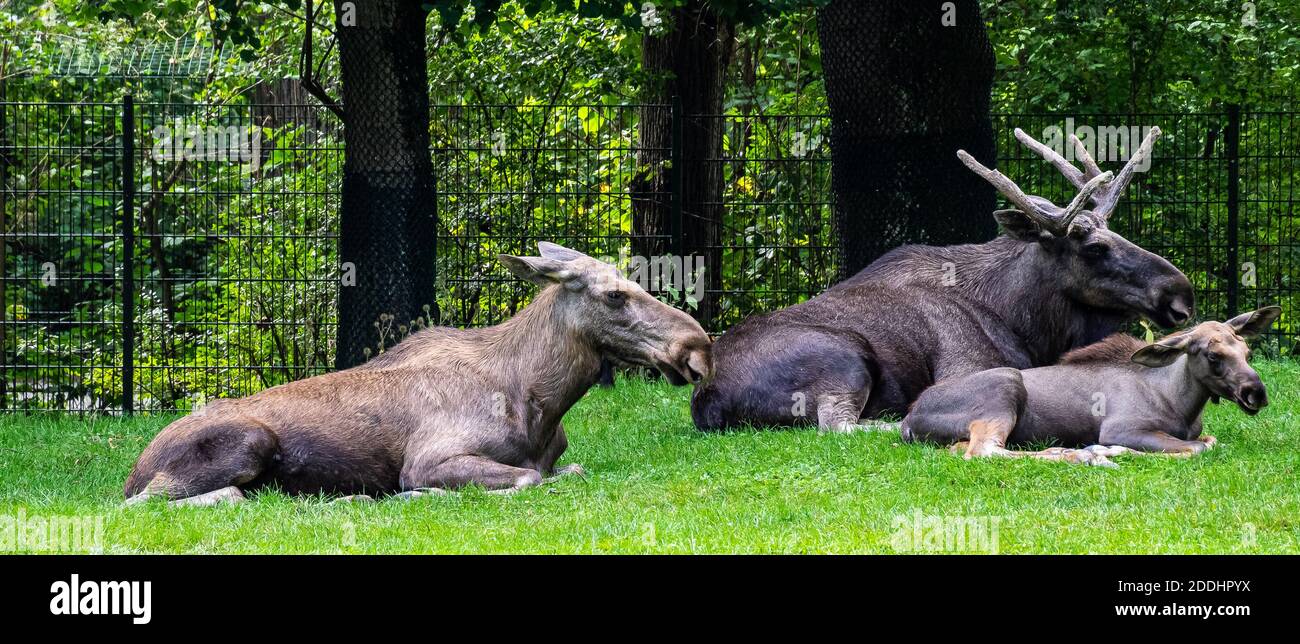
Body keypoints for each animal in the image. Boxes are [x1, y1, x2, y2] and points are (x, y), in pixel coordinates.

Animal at [124, 242, 712, 506]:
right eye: (614, 295)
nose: (698, 347)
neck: (542, 400)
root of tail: (133, 467)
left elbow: (568, 471)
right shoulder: (430, 459)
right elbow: (527, 478)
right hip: (246, 442)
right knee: (163, 500)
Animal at [691, 127, 1195, 431]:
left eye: (1118, 232)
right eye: (1094, 248)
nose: (1181, 293)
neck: (1025, 322)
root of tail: (707, 398)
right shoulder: (967, 366)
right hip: (843, 359)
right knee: (840, 424)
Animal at [900, 307, 1280, 466]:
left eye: (1247, 351)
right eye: (1214, 355)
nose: (1256, 393)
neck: (1180, 402)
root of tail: (907, 421)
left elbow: (1207, 441)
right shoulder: (1121, 428)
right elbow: (1197, 448)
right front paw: (1104, 452)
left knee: (962, 449)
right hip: (1003, 389)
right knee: (984, 451)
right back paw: (1075, 455)